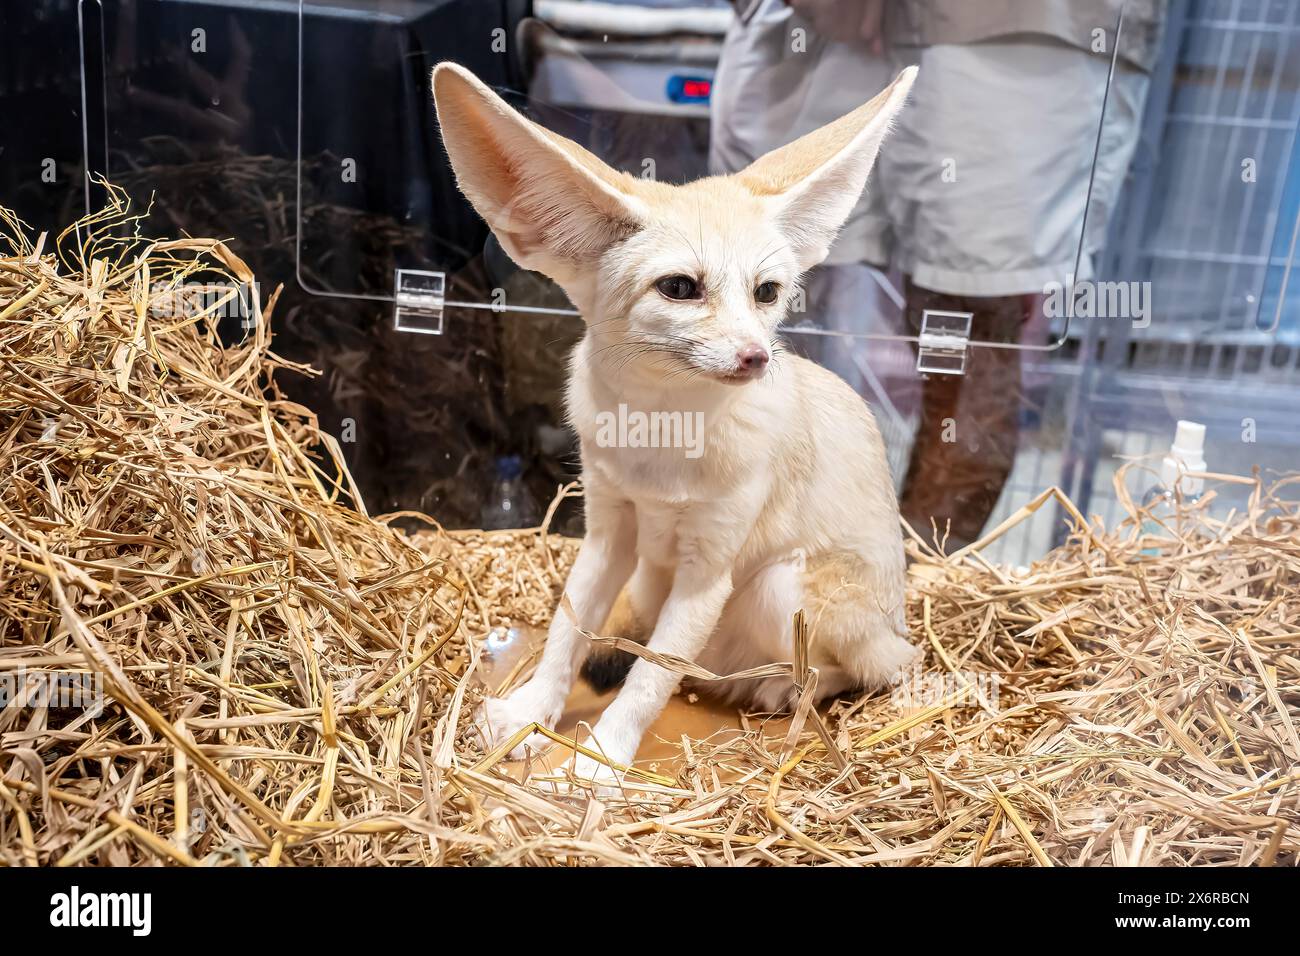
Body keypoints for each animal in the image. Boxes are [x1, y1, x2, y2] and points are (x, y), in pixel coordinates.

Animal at [431, 61, 920, 784]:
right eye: (681, 289)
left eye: (767, 293)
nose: (756, 357)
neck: (660, 435)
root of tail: (900, 626)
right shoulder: (607, 533)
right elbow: (566, 635)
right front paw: (530, 712)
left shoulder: (707, 571)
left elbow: (650, 680)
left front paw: (603, 759)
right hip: (654, 579)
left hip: (782, 589)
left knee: (861, 673)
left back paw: (779, 687)